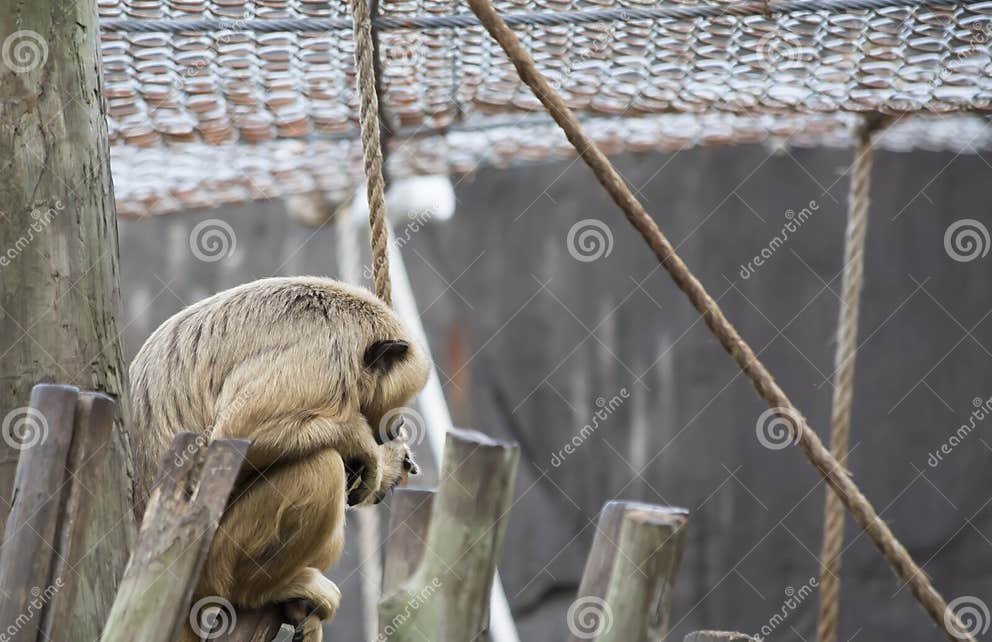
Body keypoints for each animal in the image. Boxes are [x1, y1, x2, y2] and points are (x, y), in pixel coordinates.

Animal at [129, 276, 430, 641]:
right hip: (217, 555)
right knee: (320, 468)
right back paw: (263, 591)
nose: (397, 425)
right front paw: (360, 440)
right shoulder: (322, 361)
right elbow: (237, 432)